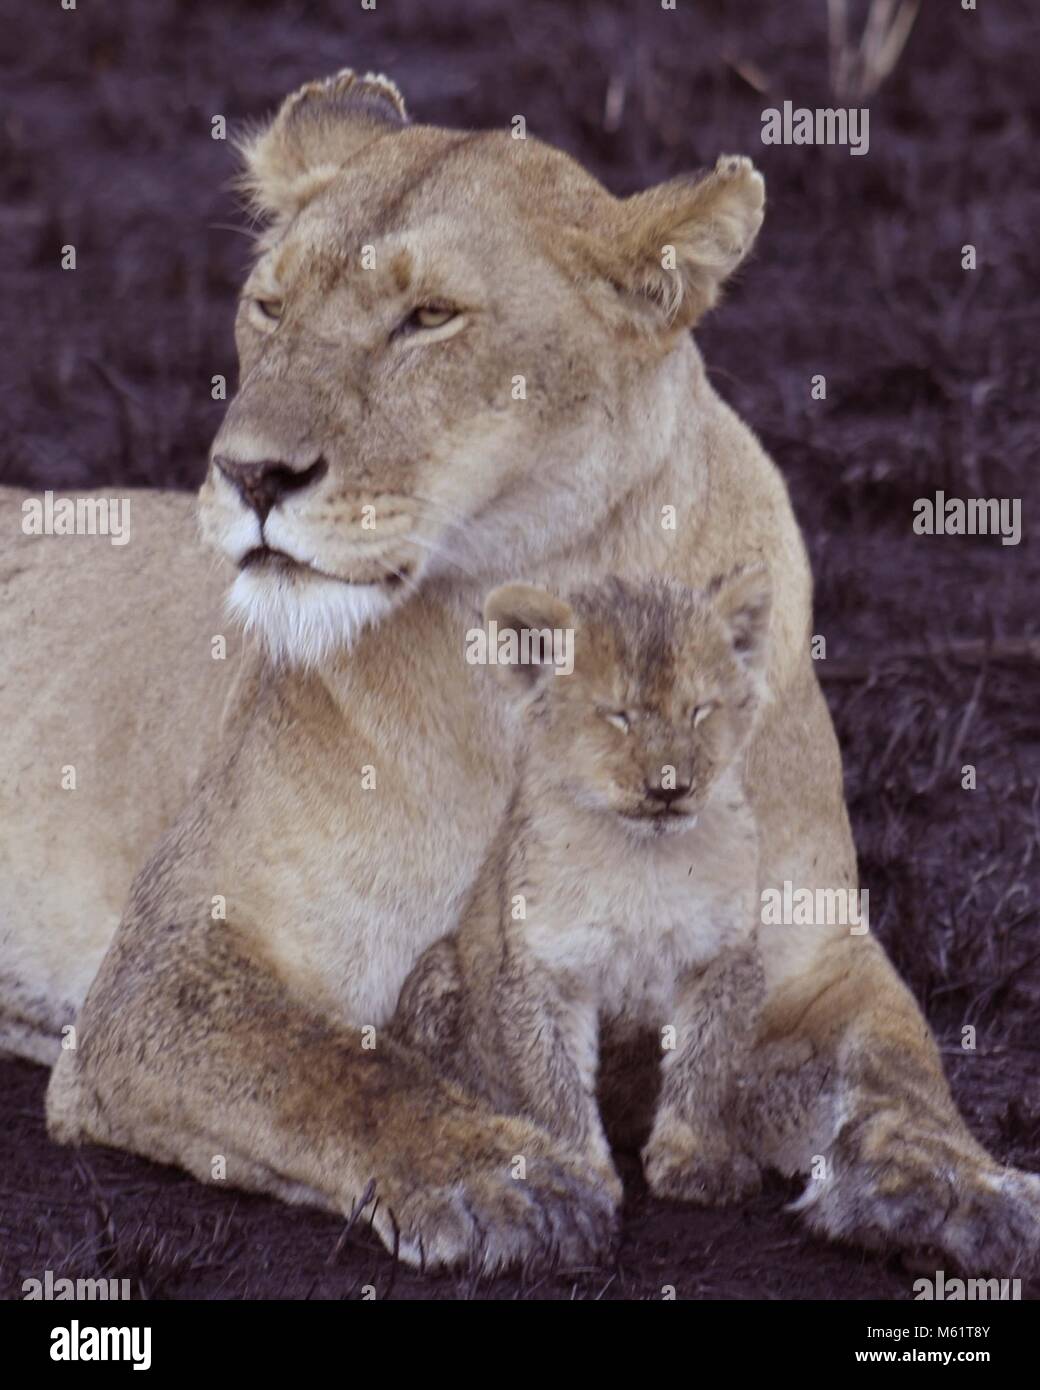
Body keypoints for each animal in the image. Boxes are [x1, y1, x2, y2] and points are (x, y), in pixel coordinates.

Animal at [1, 68, 1037, 1274]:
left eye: (428, 318)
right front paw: (502, 1178)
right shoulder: (164, 972)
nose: (250, 474)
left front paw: (964, 1183)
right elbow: (332, 1071)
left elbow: (900, 1058)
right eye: (269, 307)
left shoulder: (808, 951)